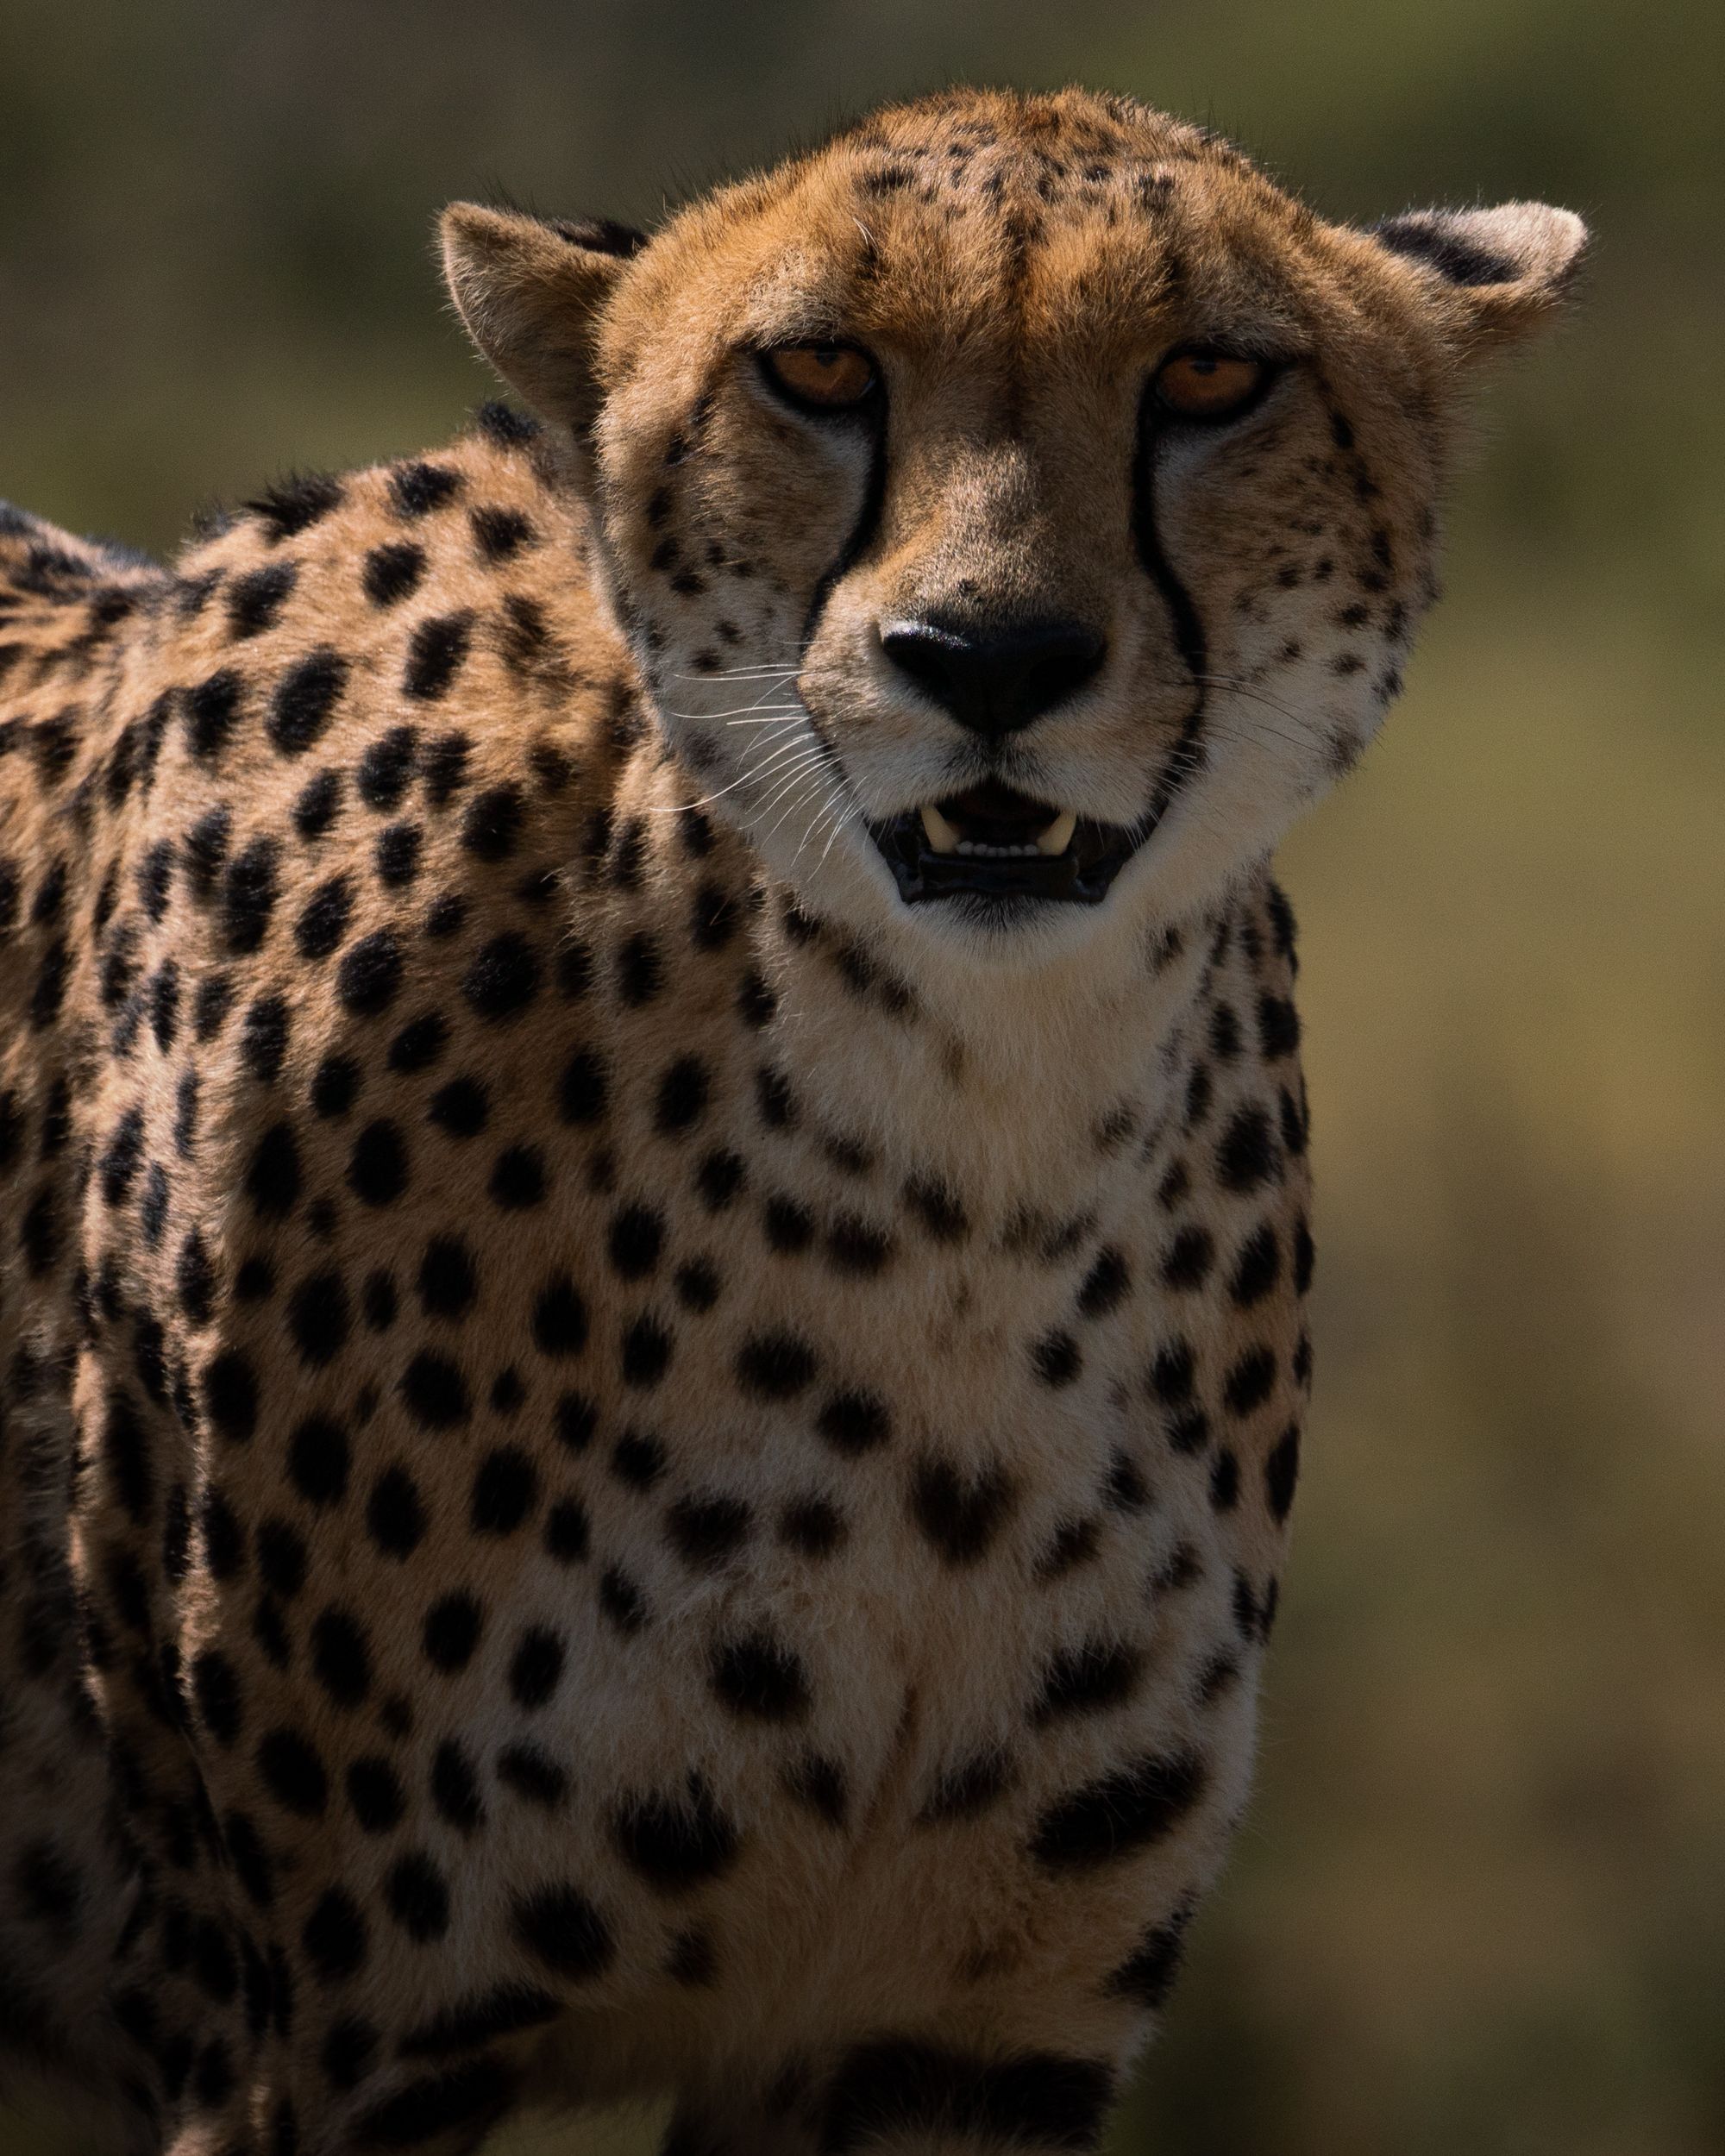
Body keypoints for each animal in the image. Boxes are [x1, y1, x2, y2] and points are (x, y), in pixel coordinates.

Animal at [0, 84, 1582, 2156]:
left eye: (1211, 376)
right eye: (819, 368)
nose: (990, 658)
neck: (966, 1167)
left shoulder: (950, 2035)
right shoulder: (319, 2049)